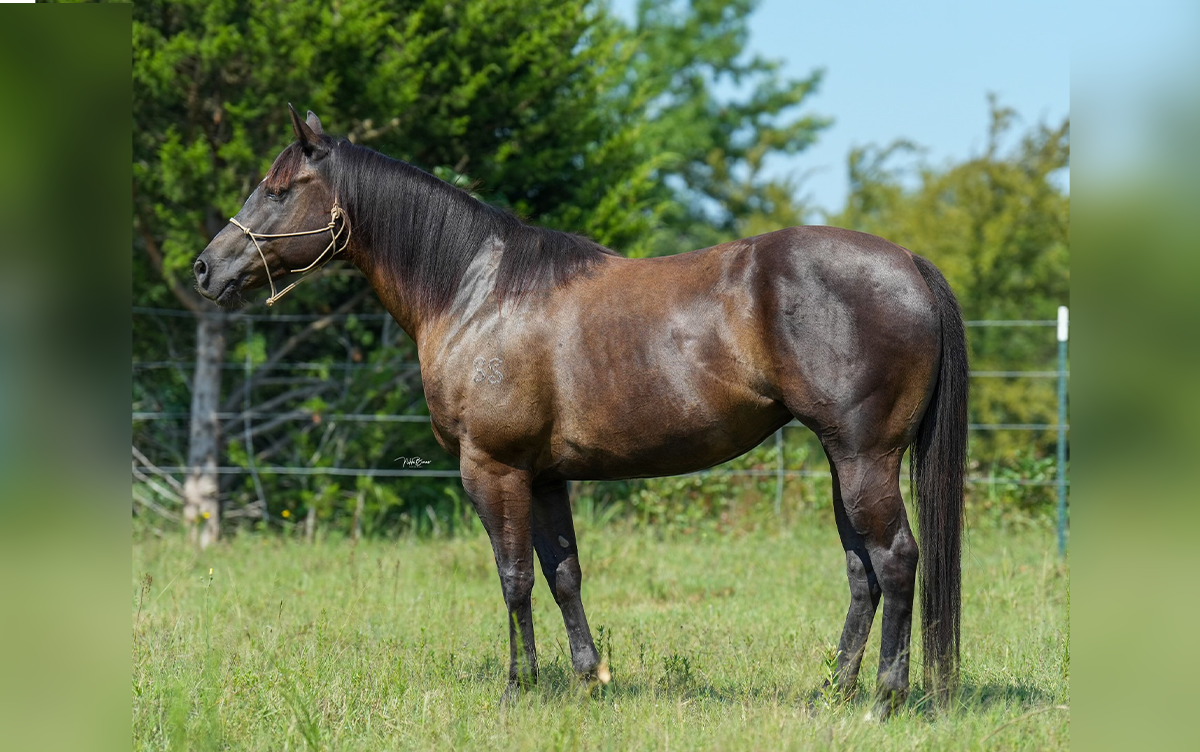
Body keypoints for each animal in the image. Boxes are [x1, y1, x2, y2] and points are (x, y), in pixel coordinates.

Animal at [193, 105, 967, 717]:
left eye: (278, 190)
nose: (205, 268)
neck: (478, 294)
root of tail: (909, 264)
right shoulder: (544, 478)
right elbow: (563, 574)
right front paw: (588, 678)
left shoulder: (493, 469)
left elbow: (513, 577)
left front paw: (518, 687)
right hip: (843, 461)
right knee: (862, 572)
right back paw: (836, 690)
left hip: (865, 460)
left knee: (896, 560)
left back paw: (886, 699)